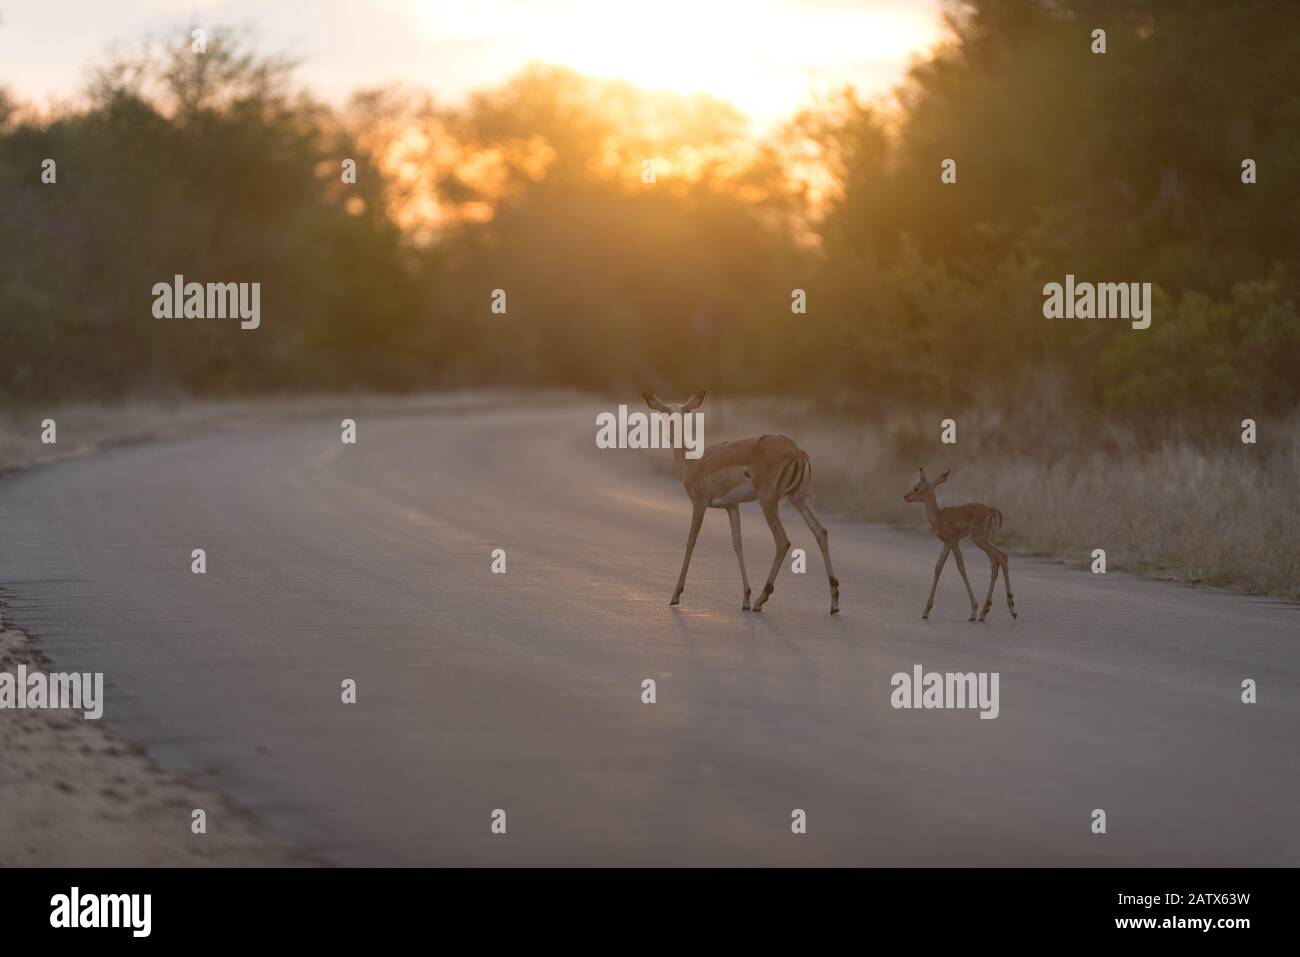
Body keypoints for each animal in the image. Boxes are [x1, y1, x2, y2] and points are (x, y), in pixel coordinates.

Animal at [642, 391, 839, 614]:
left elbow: (691, 541)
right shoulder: (731, 506)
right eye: (664, 411)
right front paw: (745, 598)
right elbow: (738, 544)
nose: (673, 430)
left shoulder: (699, 504)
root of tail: (797, 451)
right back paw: (834, 603)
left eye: (686, 411)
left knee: (783, 541)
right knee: (821, 532)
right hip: (799, 498)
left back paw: (761, 600)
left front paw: (675, 595)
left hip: (768, 501)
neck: (693, 463)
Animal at [904, 468, 1016, 622]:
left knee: (1002, 556)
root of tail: (993, 510)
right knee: (995, 563)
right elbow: (938, 567)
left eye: (916, 487)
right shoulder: (946, 544)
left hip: (980, 540)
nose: (906, 496)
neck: (939, 517)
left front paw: (973, 610)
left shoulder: (954, 541)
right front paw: (926, 610)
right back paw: (985, 612)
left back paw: (1009, 610)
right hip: (987, 540)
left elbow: (961, 568)